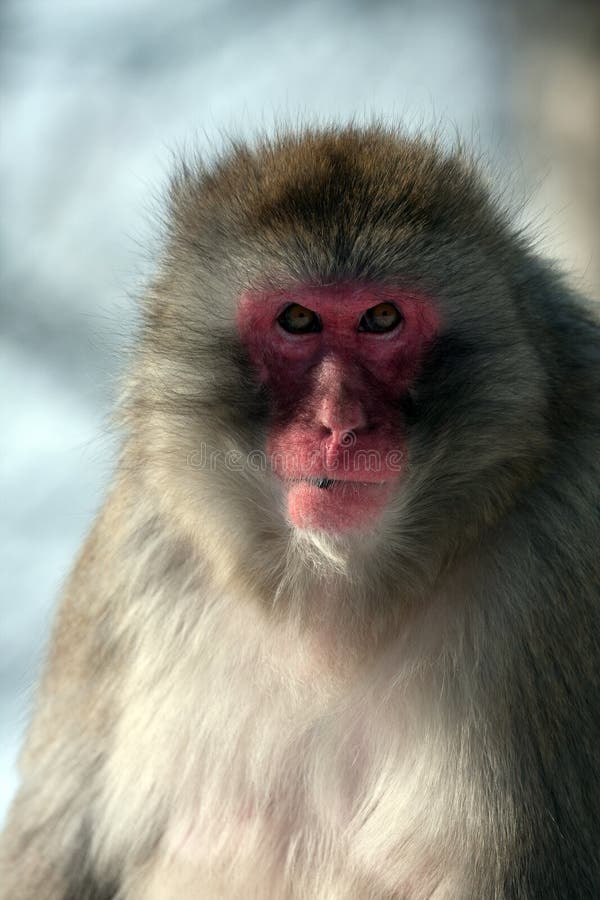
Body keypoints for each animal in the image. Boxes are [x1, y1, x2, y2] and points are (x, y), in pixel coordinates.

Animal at [1, 125, 599, 900]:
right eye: (297, 320)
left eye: (381, 319)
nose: (338, 422)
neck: (337, 595)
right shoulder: (137, 552)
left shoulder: (565, 548)